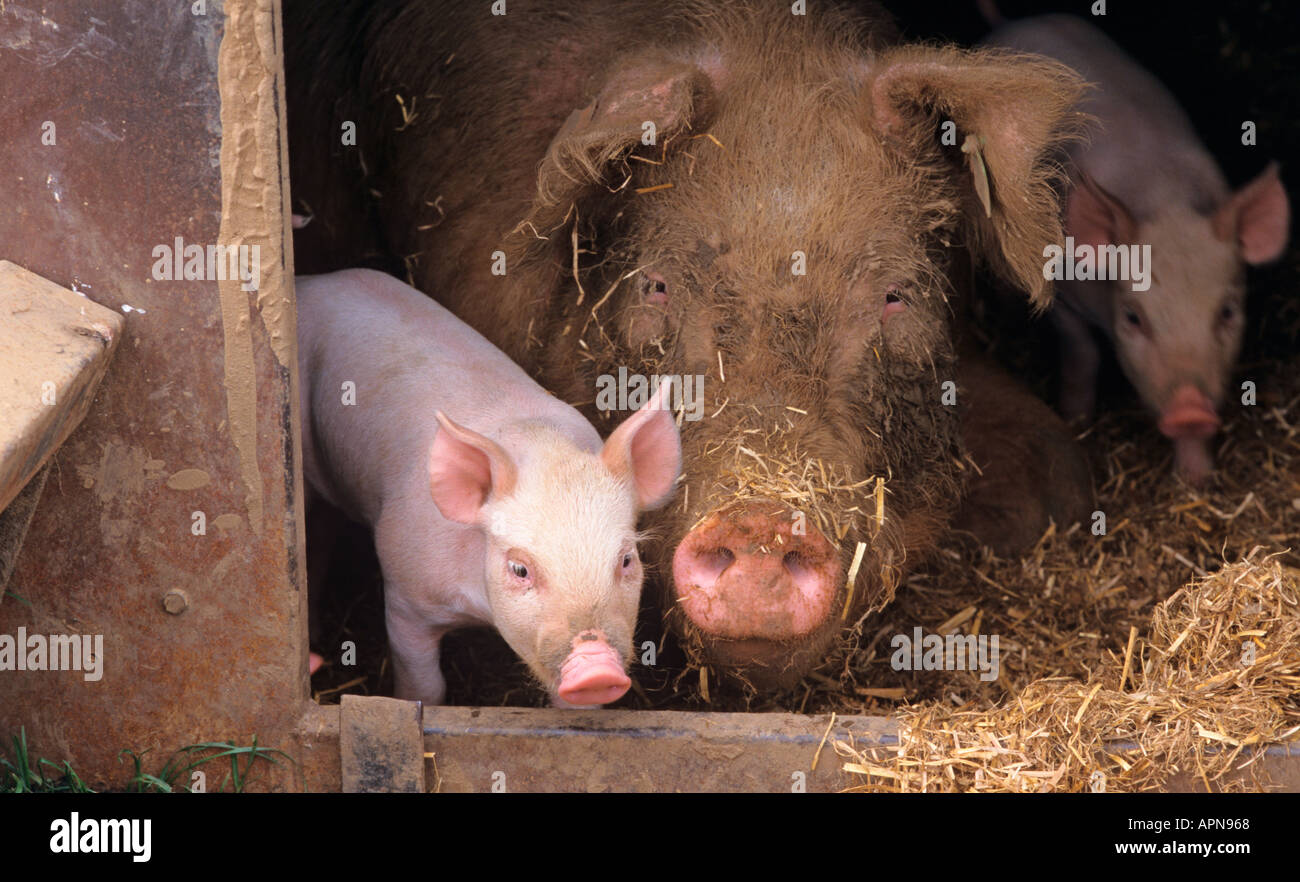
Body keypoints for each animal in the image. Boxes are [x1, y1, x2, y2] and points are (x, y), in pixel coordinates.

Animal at [295, 268, 682, 706]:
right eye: (520, 569)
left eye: (627, 560)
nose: (596, 665)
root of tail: (314, 279)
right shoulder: (404, 598)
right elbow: (426, 686)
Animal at [981, 14, 1291, 483]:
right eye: (1133, 317)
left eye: (1227, 312)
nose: (1189, 410)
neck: (1166, 201)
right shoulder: (1058, 287)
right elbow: (1084, 353)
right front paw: (1075, 421)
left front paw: (1195, 479)